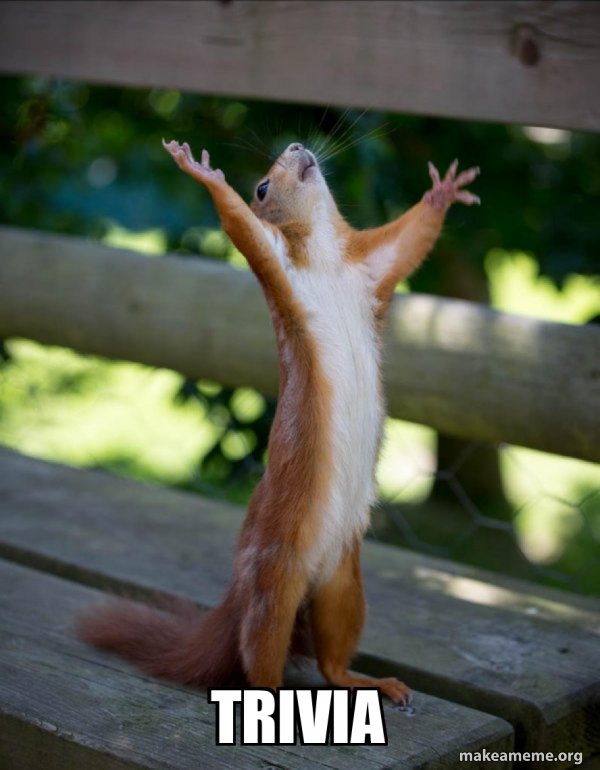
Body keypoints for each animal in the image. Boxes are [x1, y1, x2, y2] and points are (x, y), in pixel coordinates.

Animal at [77, 138, 479, 705]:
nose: (296, 146)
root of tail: (238, 594)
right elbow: (240, 226)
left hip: (343, 585)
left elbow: (410, 240)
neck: (327, 259)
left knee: (332, 659)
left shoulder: (372, 267)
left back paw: (369, 680)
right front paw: (203, 173)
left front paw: (442, 192)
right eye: (262, 187)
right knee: (260, 656)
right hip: (273, 583)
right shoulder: (277, 264)